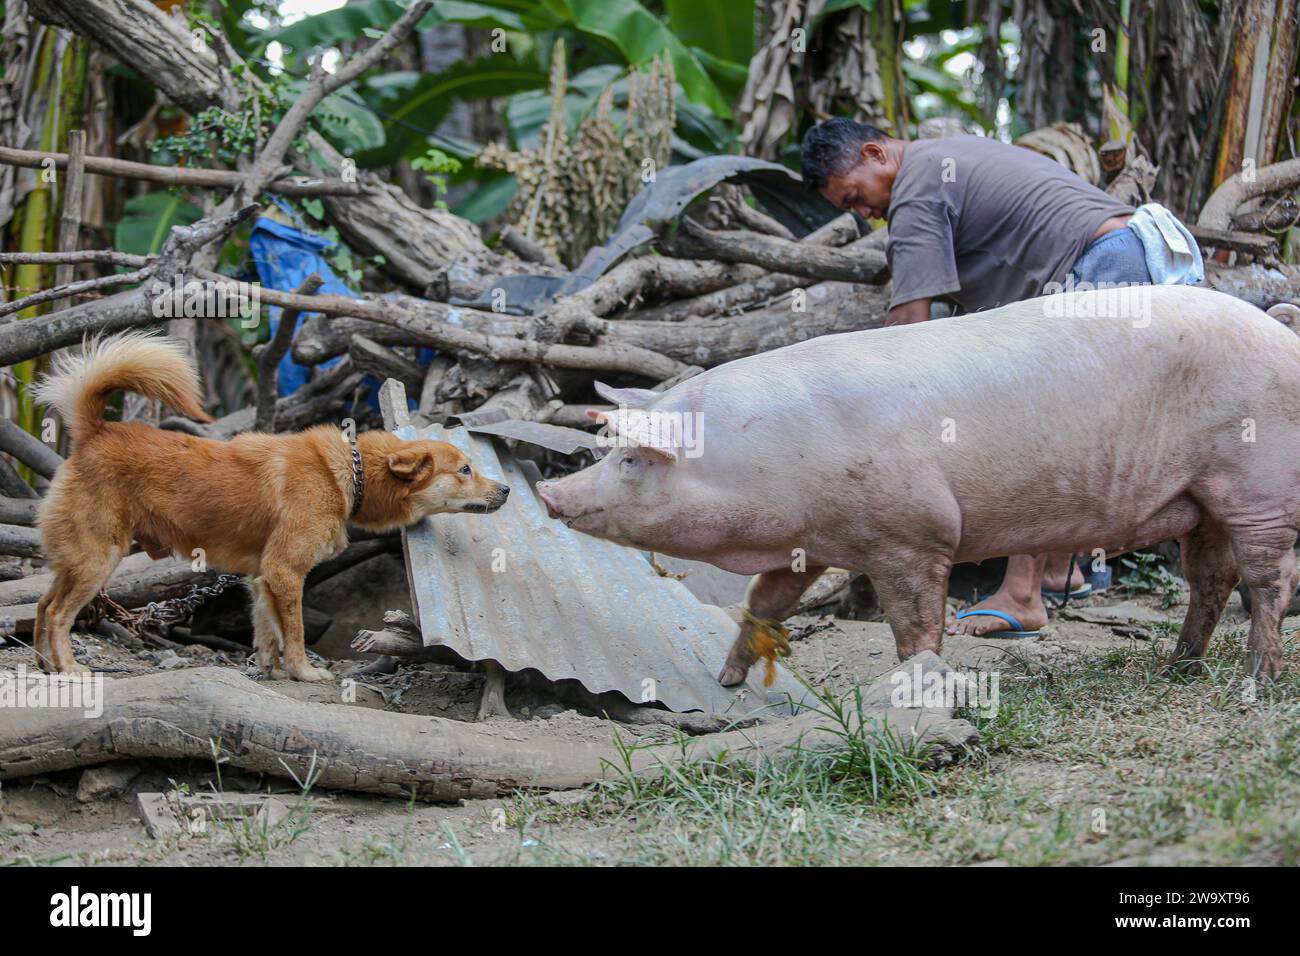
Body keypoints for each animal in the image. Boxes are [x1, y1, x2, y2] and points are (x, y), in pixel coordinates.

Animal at [537, 285, 1300, 685]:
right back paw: (1180, 668)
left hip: (1256, 484)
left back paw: (1256, 680)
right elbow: (764, 602)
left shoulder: (912, 533)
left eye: (631, 460)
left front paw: (917, 684)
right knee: (1211, 578)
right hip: (1200, 502)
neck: (765, 457)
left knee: (1268, 580)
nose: (549, 496)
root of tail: (1279, 330)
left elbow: (913, 620)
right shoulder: (811, 543)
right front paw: (727, 682)